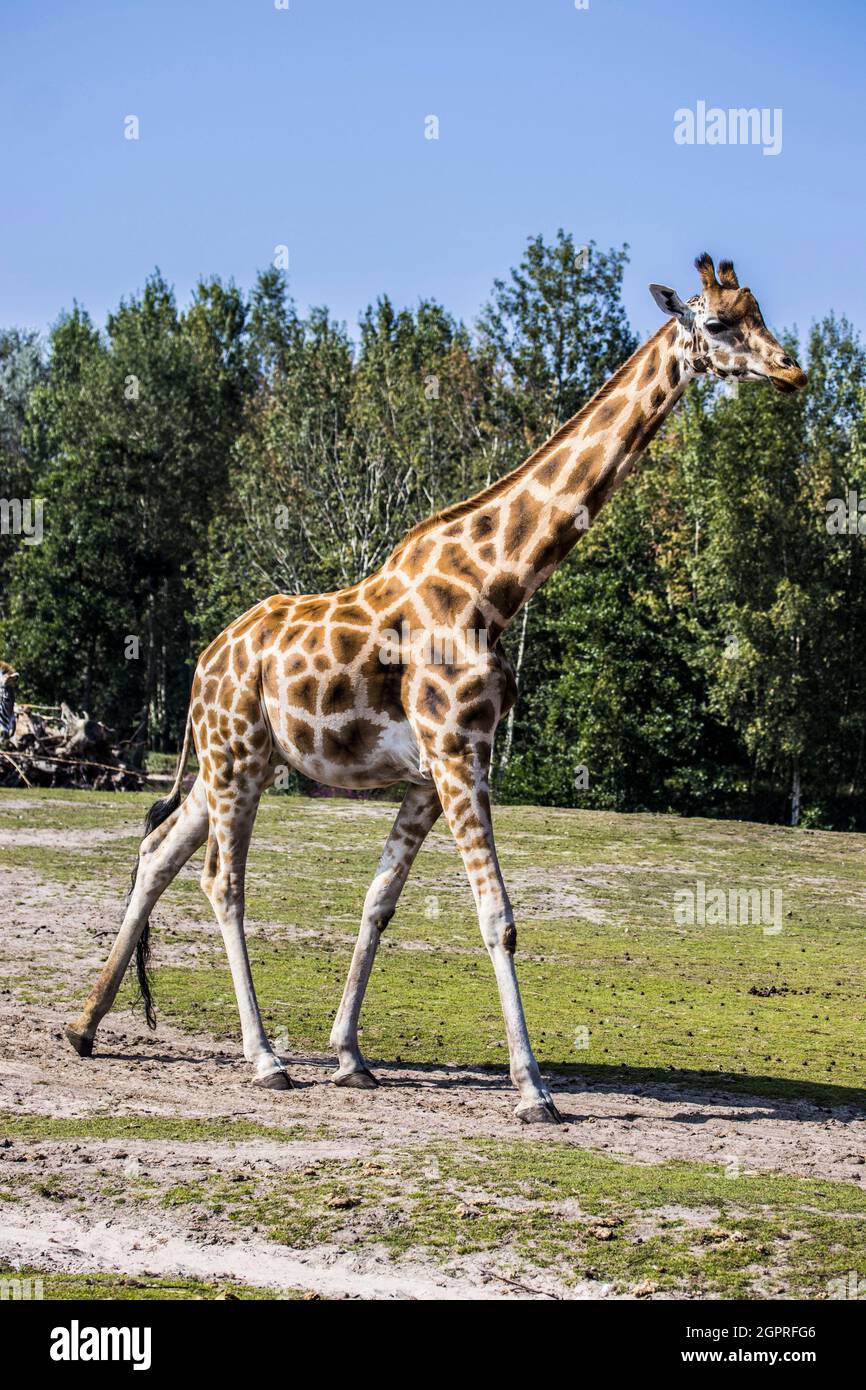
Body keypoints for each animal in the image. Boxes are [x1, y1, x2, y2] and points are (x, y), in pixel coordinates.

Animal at [65, 255, 807, 1123]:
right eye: (719, 323)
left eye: (759, 312)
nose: (791, 370)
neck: (499, 585)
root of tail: (202, 664)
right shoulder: (458, 754)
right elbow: (499, 916)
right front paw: (533, 1088)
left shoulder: (429, 775)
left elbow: (379, 901)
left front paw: (349, 1054)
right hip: (237, 756)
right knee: (222, 879)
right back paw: (263, 1057)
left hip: (238, 762)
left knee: (159, 853)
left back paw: (85, 1027)